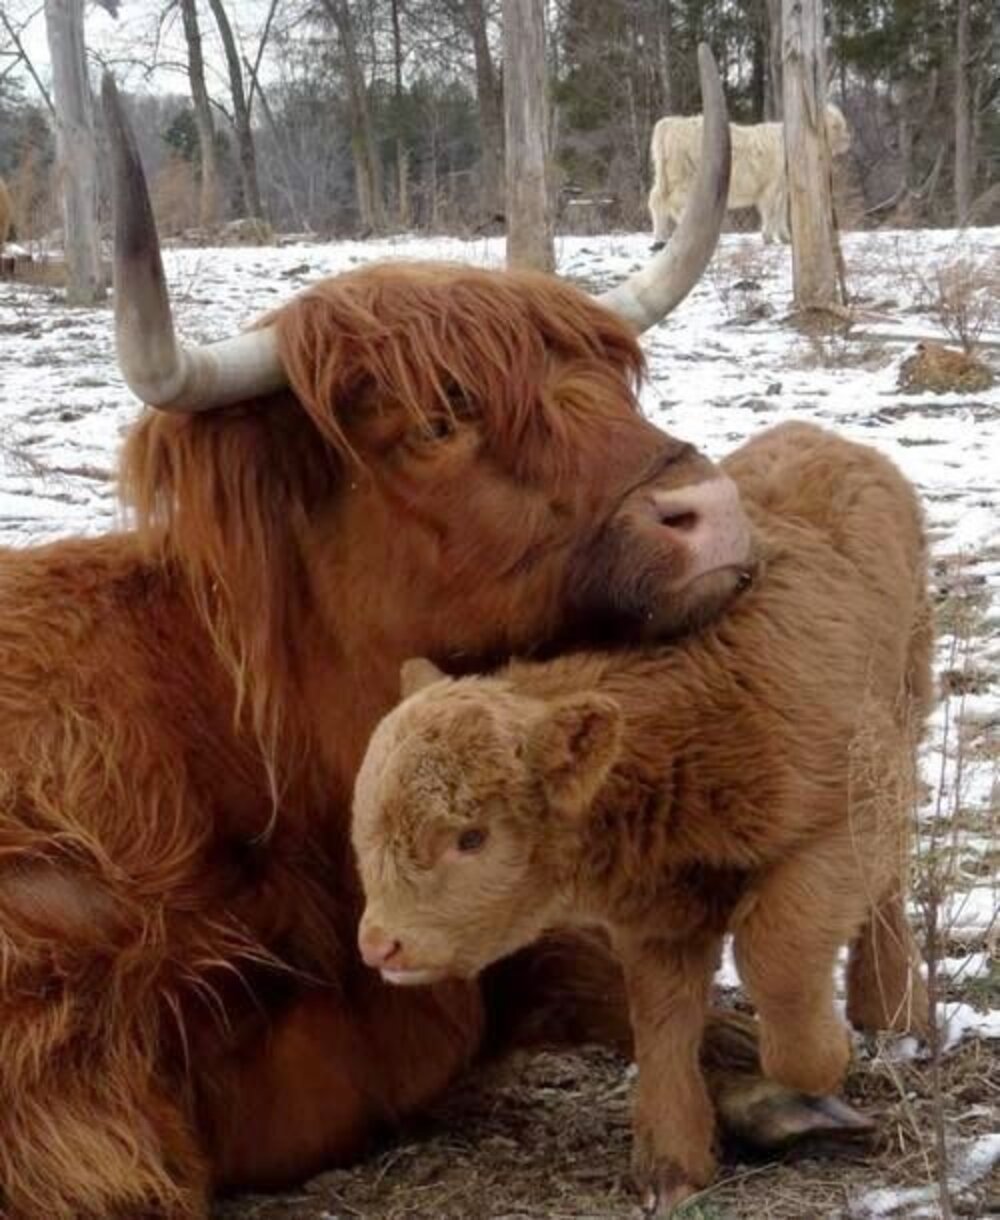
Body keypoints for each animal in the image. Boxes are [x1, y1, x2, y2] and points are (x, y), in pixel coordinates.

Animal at [353, 423, 932, 1213]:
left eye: (471, 837)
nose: (382, 944)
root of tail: (816, 435)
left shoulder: (843, 820)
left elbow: (777, 950)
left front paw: (814, 1067)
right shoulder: (656, 909)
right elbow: (660, 1019)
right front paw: (671, 1167)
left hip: (902, 720)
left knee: (888, 885)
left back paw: (894, 1007)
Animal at [649, 103, 851, 248]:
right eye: (836, 125)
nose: (848, 140)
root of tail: (670, 123)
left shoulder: (782, 187)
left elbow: (781, 211)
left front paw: (785, 237)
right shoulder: (771, 186)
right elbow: (771, 211)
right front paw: (768, 237)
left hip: (666, 178)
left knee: (658, 201)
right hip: (683, 179)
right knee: (670, 204)